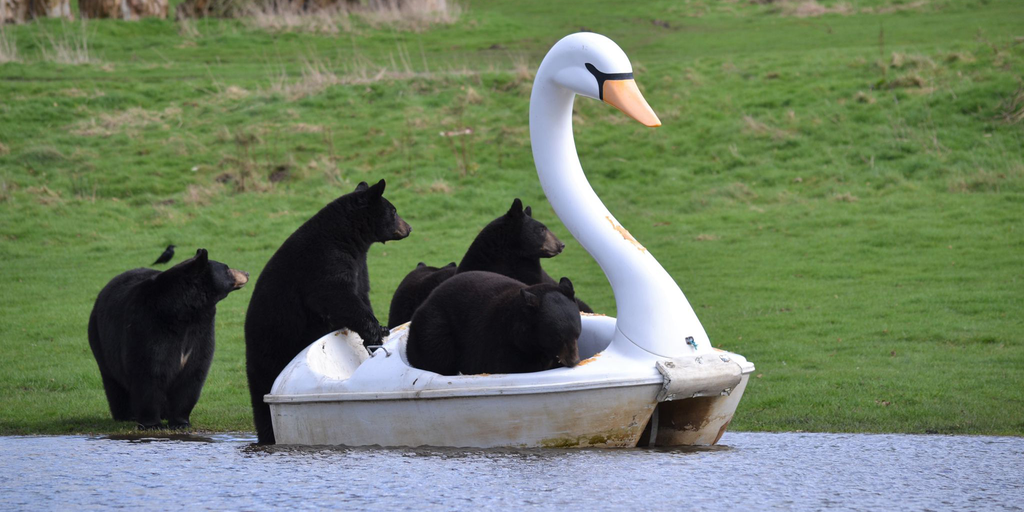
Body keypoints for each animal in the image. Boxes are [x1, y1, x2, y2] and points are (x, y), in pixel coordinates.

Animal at [87, 248, 249, 429]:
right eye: (227, 268)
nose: (246, 273)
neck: (184, 311)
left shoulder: (201, 332)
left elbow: (193, 373)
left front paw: (180, 422)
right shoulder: (148, 327)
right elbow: (149, 373)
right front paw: (152, 423)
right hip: (100, 339)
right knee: (113, 381)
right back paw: (126, 415)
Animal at [244, 179, 411, 445]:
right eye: (394, 211)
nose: (409, 228)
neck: (347, 237)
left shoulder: (359, 265)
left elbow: (361, 293)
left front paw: (380, 327)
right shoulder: (325, 261)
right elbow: (337, 297)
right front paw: (375, 333)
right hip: (271, 349)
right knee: (262, 398)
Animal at [405, 271, 582, 376]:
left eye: (577, 334)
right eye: (558, 337)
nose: (574, 361)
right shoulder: (501, 345)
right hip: (434, 327)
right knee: (438, 354)